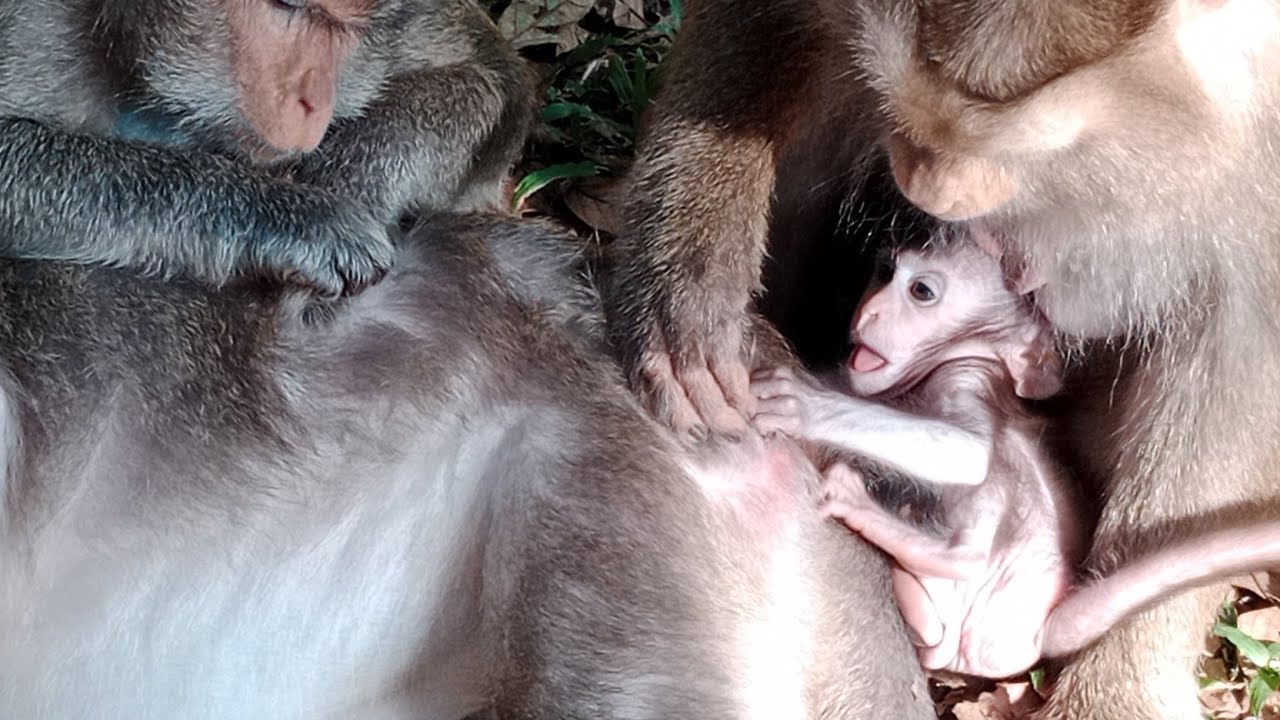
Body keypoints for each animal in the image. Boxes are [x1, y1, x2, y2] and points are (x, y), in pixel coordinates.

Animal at [0, 0, 530, 297]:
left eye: (349, 28)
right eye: (287, 4)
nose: (314, 100)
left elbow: (502, 80)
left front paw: (358, 175)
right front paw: (295, 215)